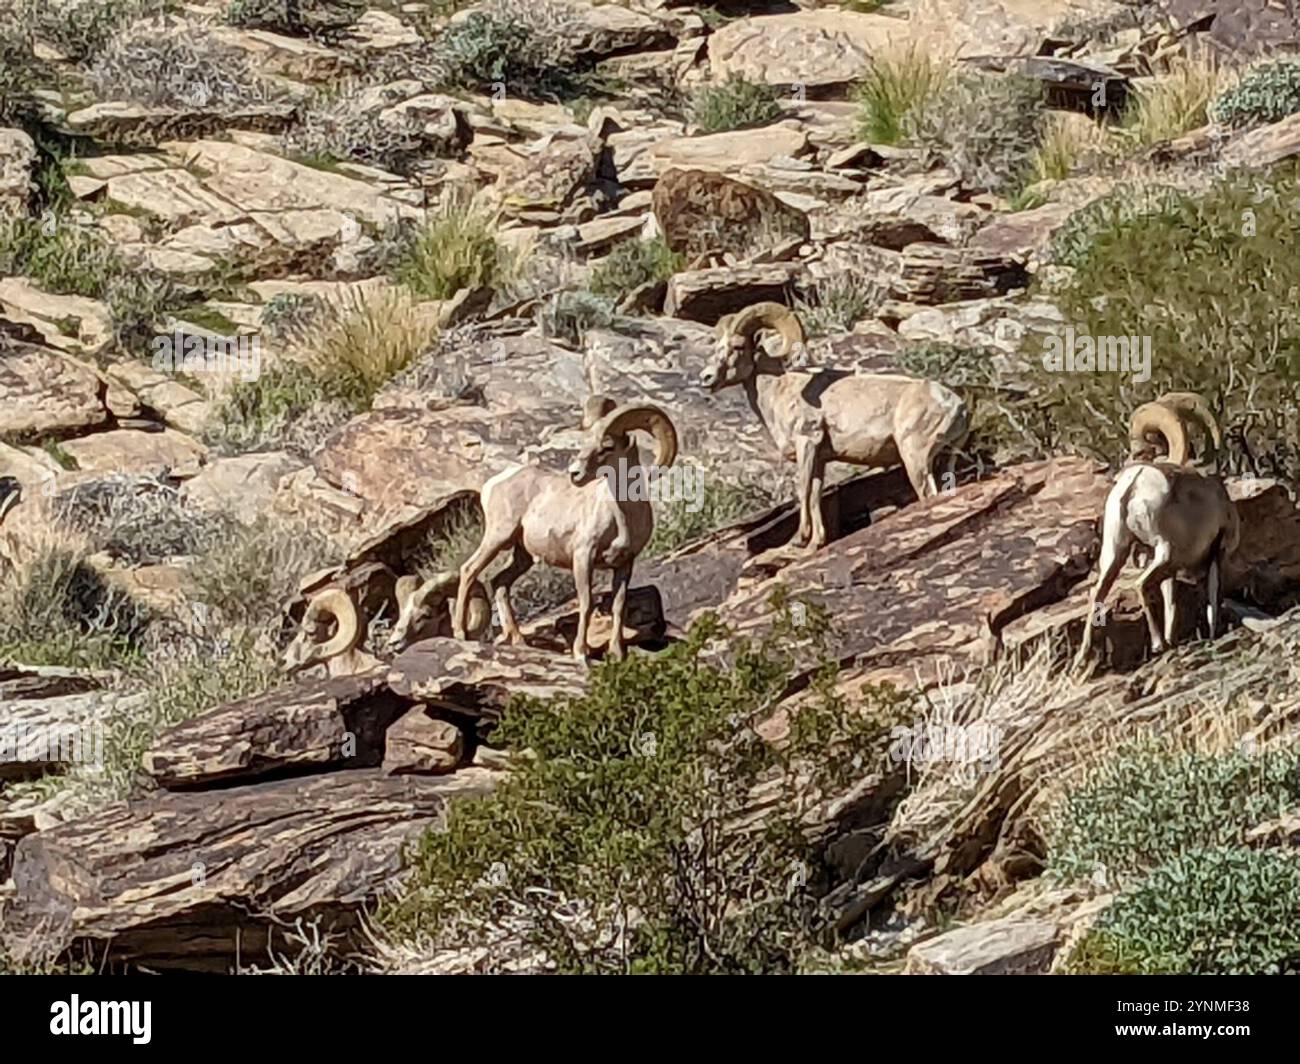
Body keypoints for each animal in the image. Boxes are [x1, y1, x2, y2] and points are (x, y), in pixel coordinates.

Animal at [451, 396, 678, 663]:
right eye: (585, 443)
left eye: (607, 447)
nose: (574, 474)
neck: (622, 517)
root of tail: (493, 483)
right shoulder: (583, 557)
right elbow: (586, 603)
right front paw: (581, 653)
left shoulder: (625, 563)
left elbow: (619, 605)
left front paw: (617, 654)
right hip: (498, 537)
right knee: (469, 570)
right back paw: (460, 632)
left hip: (523, 555)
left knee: (500, 582)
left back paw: (518, 640)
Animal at [699, 302, 969, 549]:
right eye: (717, 347)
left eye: (738, 346)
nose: (706, 378)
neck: (779, 390)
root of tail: (957, 405)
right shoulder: (820, 459)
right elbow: (816, 496)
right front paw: (815, 543)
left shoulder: (807, 442)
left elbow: (803, 490)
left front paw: (799, 540)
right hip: (944, 459)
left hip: (915, 458)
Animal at [1075, 462, 1240, 666]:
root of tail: (1135, 480)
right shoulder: (1216, 555)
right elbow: (1212, 598)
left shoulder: (1171, 571)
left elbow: (1171, 602)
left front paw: (1172, 641)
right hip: (1164, 551)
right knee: (1140, 584)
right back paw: (1158, 644)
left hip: (1116, 551)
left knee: (1098, 593)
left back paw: (1081, 659)